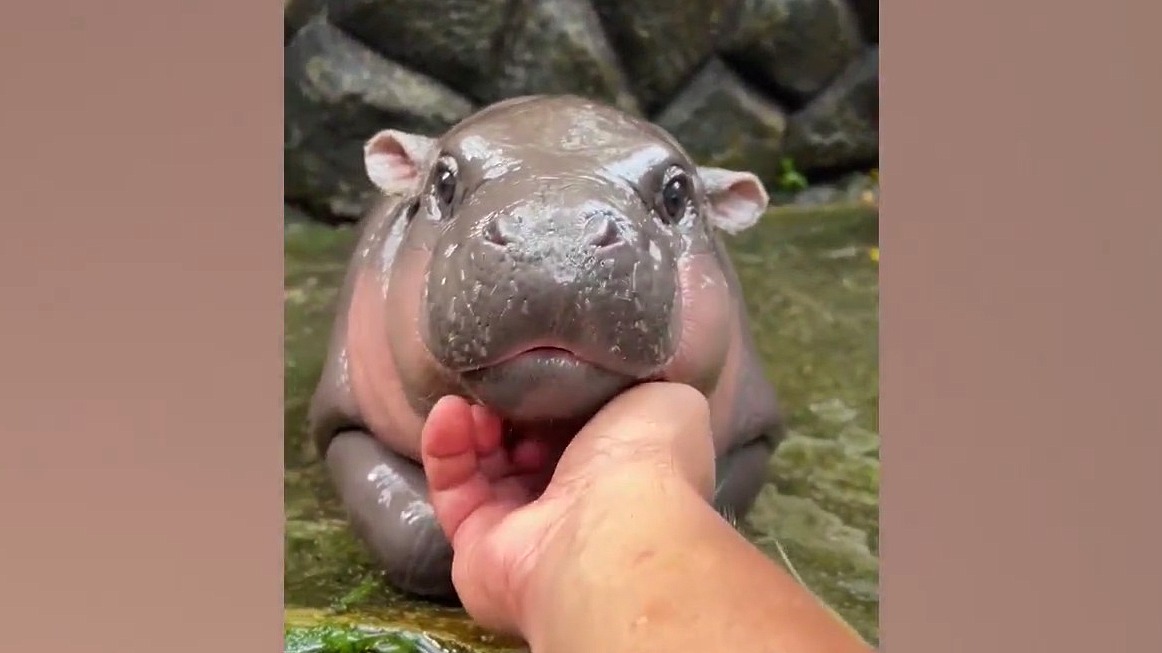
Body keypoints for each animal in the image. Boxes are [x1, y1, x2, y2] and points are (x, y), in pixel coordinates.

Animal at [307, 95, 784, 600]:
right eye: (444, 180)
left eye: (677, 193)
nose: (553, 238)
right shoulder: (342, 418)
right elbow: (413, 529)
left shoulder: (757, 433)